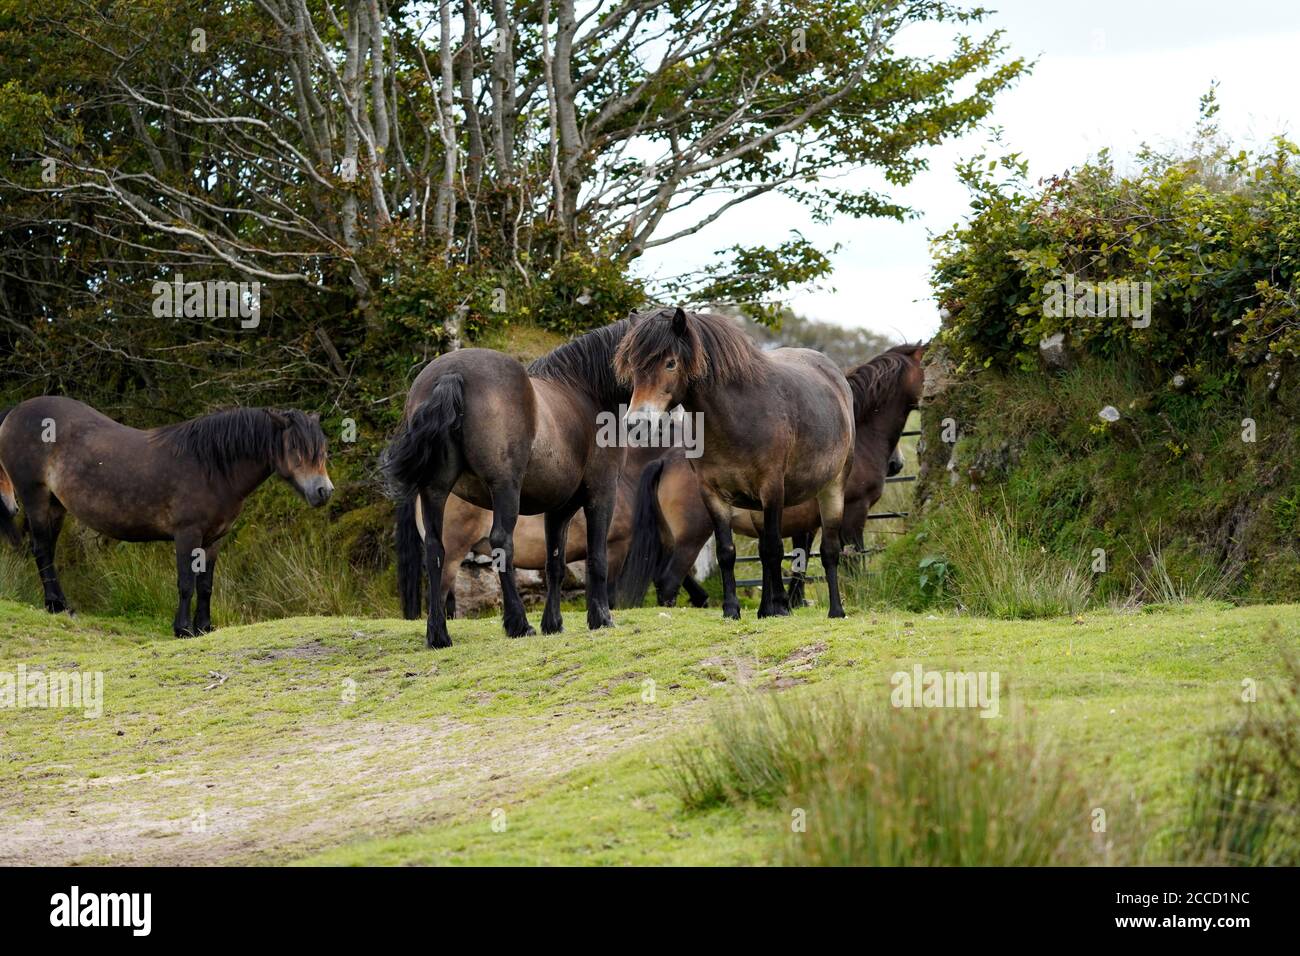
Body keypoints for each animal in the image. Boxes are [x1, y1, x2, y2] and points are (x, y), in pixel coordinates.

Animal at [0, 398, 332, 636]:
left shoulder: (214, 539)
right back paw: (55, 605)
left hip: (56, 505)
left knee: (48, 550)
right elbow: (186, 582)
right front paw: (183, 629)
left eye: (323, 450)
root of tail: (15, 412)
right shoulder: (187, 534)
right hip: (36, 499)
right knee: (42, 550)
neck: (211, 467)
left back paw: (60, 605)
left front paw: (204, 627)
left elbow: (206, 584)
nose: (324, 491)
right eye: (296, 448)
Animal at [382, 320, 633, 648]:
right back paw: (518, 623)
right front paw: (600, 618)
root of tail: (451, 374)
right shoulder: (601, 495)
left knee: (436, 551)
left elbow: (555, 564)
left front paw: (554, 623)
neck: (585, 394)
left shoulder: (559, 508)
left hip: (435, 491)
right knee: (500, 545)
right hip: (504, 488)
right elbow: (597, 561)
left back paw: (439, 635)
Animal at [613, 307, 855, 619]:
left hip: (832, 488)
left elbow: (773, 549)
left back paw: (835, 610)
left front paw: (779, 607)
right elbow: (727, 552)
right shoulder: (712, 493)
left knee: (828, 550)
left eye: (670, 363)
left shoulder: (772, 489)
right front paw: (732, 609)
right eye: (632, 364)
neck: (736, 418)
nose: (636, 424)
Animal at [615, 343, 926, 610]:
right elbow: (852, 559)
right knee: (669, 581)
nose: (896, 463)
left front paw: (789, 602)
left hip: (670, 537)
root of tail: (664, 460)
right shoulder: (853, 512)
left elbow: (798, 561)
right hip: (692, 535)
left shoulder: (804, 521)